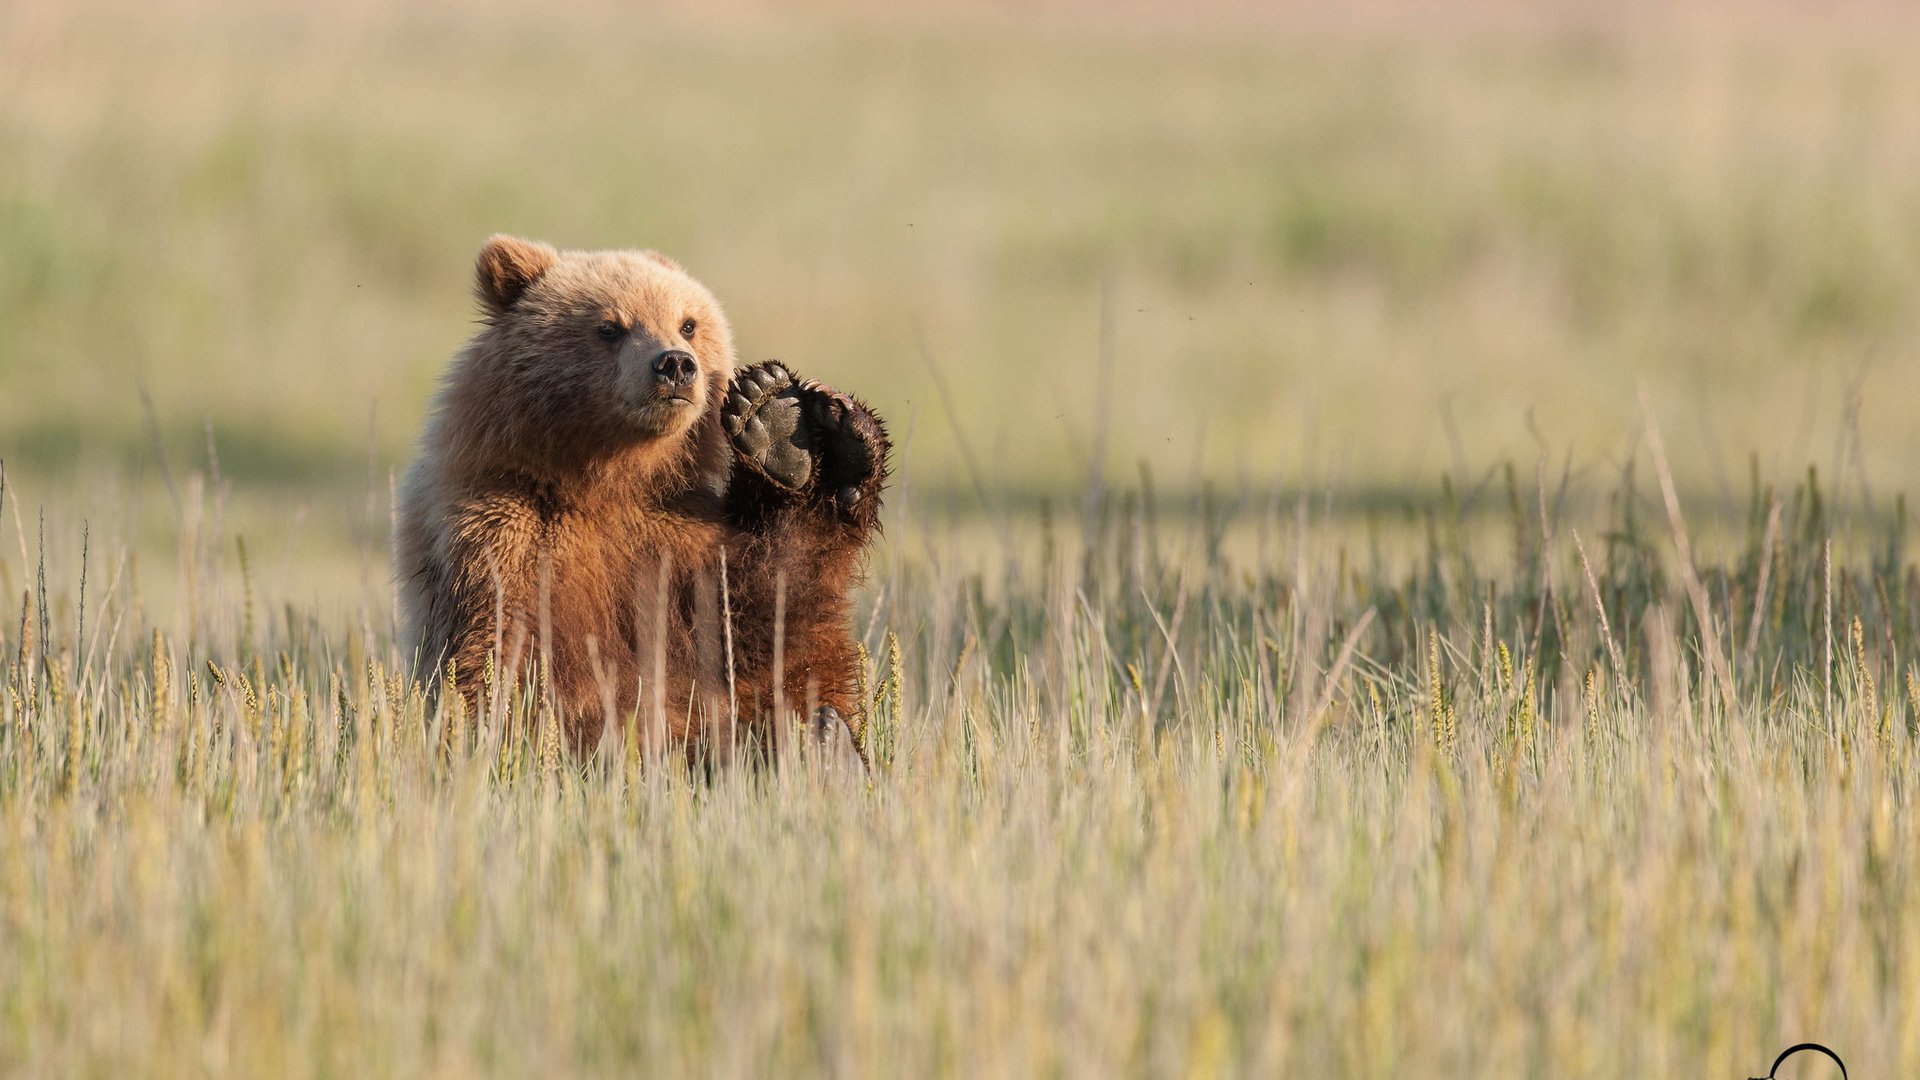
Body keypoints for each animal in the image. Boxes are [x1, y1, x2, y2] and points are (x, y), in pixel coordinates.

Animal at [394, 235, 889, 763]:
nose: (675, 364)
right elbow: (509, 660)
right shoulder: (505, 537)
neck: (604, 481)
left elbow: (765, 629)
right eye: (610, 327)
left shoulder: (678, 542)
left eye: (687, 323)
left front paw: (777, 420)